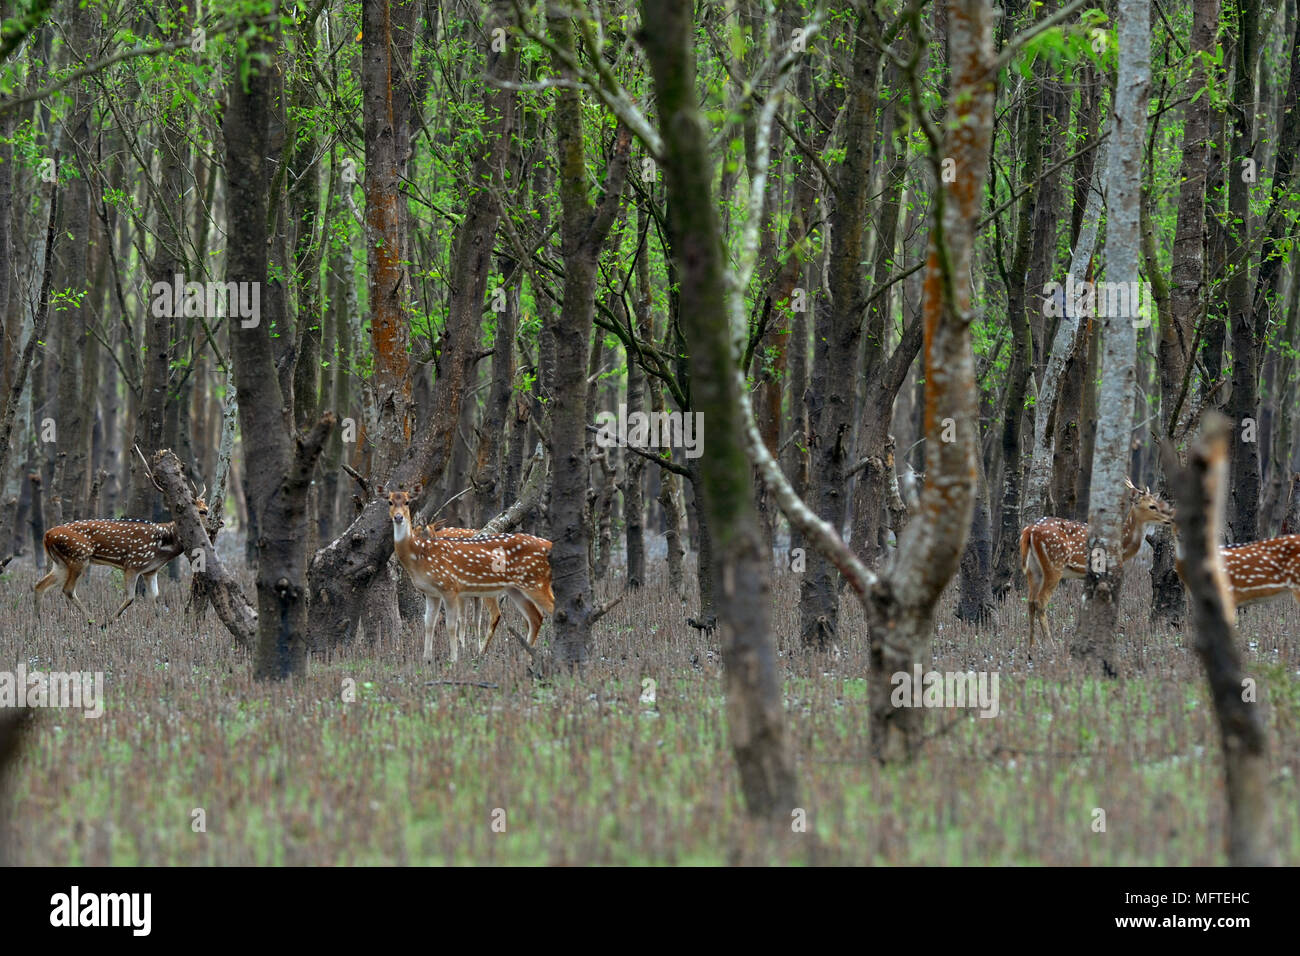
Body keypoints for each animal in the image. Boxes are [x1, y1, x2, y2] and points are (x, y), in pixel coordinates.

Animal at [34, 473, 213, 626]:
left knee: (40, 584)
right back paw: (93, 621)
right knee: (68, 589)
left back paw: (38, 622)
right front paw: (107, 623)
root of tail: (47, 535)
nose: (216, 522)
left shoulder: (150, 570)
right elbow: (130, 597)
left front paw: (159, 624)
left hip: (61, 563)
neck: (163, 546)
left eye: (207, 508)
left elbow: (154, 597)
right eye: (201, 511)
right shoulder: (133, 564)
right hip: (78, 557)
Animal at [381, 485, 555, 662]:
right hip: (515, 588)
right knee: (535, 617)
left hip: (535, 581)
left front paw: (454, 658)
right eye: (390, 502)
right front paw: (427, 659)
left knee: (549, 610)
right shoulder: (432, 592)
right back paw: (526, 658)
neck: (419, 555)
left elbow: (453, 624)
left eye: (407, 502)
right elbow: (429, 623)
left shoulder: (450, 586)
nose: (398, 517)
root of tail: (548, 544)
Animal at [1019, 478, 1175, 651]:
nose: (1170, 519)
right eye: (1152, 506)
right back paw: (1050, 644)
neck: (1122, 547)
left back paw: (1031, 645)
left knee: (1031, 601)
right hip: (1054, 564)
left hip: (1033, 569)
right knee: (1041, 601)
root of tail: (1029, 530)